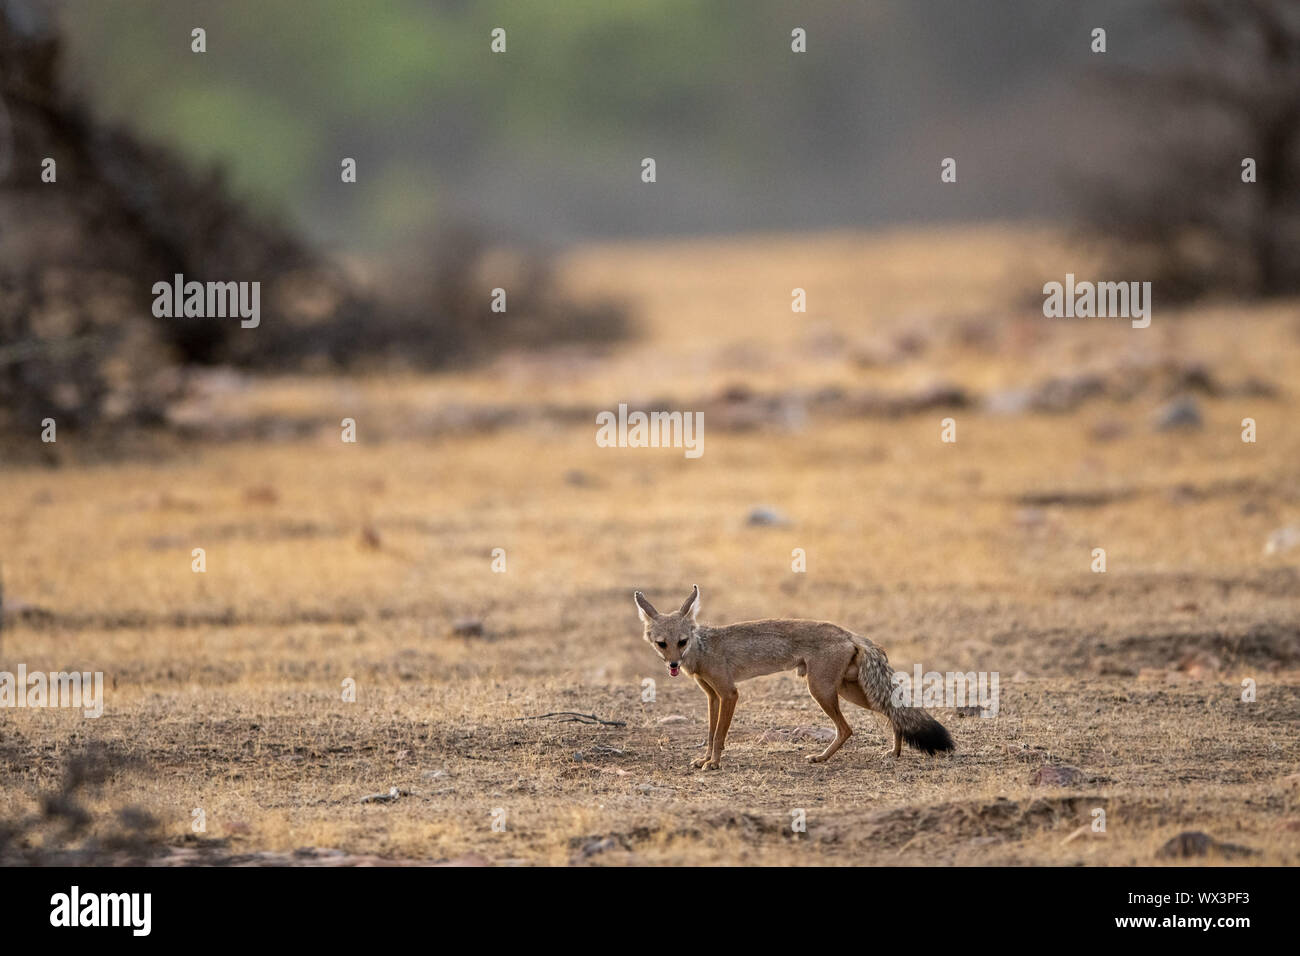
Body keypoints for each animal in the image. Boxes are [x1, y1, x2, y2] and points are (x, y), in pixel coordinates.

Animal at [635, 585, 954, 769]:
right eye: (662, 644)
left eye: (683, 641)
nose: (673, 664)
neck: (703, 648)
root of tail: (850, 633)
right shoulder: (712, 696)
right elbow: (711, 733)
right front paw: (705, 759)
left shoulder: (729, 694)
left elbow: (720, 735)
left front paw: (713, 763)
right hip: (847, 691)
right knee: (892, 712)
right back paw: (894, 753)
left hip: (821, 690)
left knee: (848, 728)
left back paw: (822, 758)